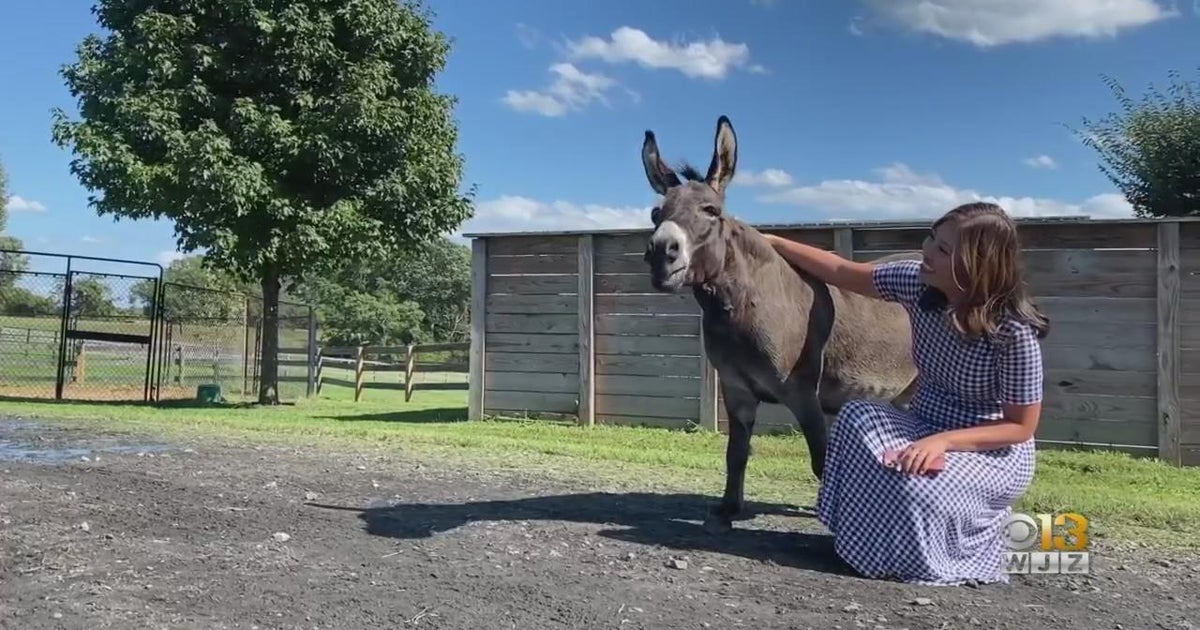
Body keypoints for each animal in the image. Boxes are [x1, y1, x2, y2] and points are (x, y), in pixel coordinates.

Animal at [640, 115, 919, 534]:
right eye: (656, 215)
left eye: (711, 211)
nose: (661, 253)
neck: (741, 308)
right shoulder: (737, 390)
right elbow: (736, 453)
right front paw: (728, 509)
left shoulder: (803, 393)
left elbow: (820, 459)